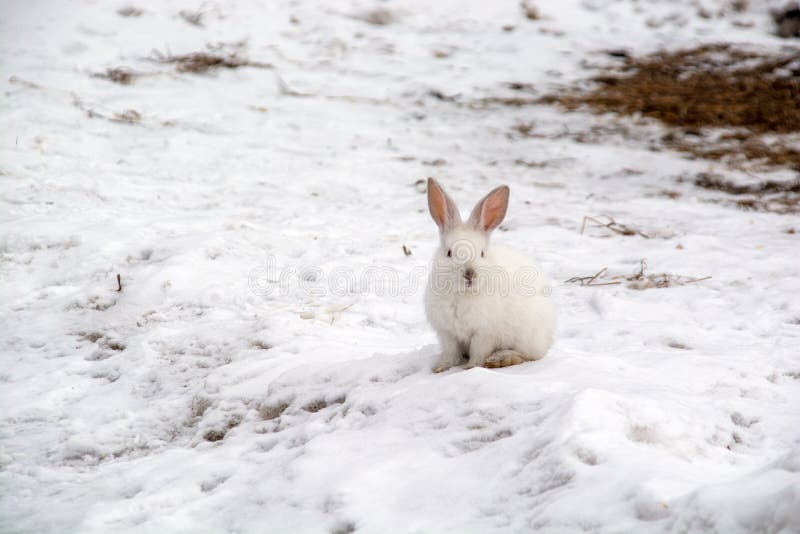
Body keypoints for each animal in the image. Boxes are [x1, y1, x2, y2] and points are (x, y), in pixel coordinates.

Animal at [424, 178, 556, 372]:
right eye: (449, 253)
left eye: (482, 253)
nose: (469, 274)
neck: (463, 294)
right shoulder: (447, 333)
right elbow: (450, 353)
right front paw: (439, 368)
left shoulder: (484, 333)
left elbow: (478, 352)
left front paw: (469, 367)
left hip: (528, 337)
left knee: (529, 355)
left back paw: (501, 359)